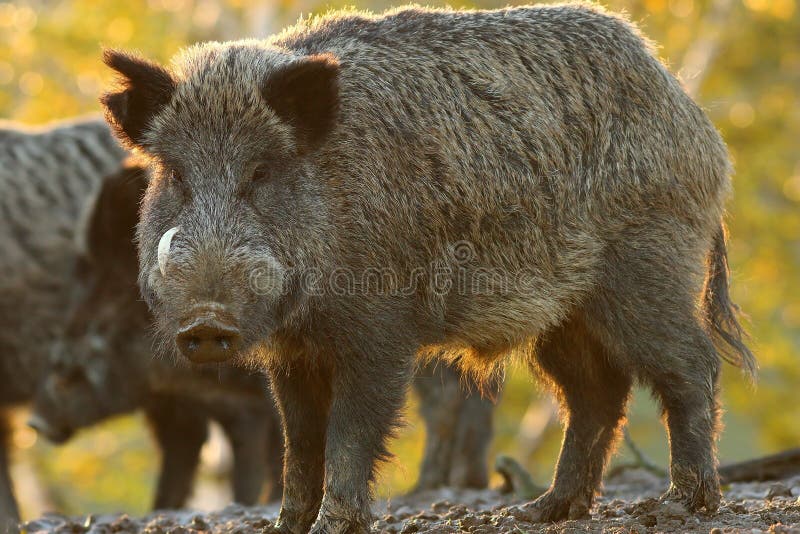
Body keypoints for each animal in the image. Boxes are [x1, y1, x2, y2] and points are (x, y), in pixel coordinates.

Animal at [101, 4, 756, 533]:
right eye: (175, 175)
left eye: (262, 172)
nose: (205, 323)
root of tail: (698, 125)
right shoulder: (294, 353)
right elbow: (300, 440)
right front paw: (287, 526)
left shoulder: (379, 330)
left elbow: (351, 432)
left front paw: (333, 524)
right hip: (563, 315)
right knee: (596, 394)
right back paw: (538, 512)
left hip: (647, 270)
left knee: (691, 366)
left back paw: (681, 505)